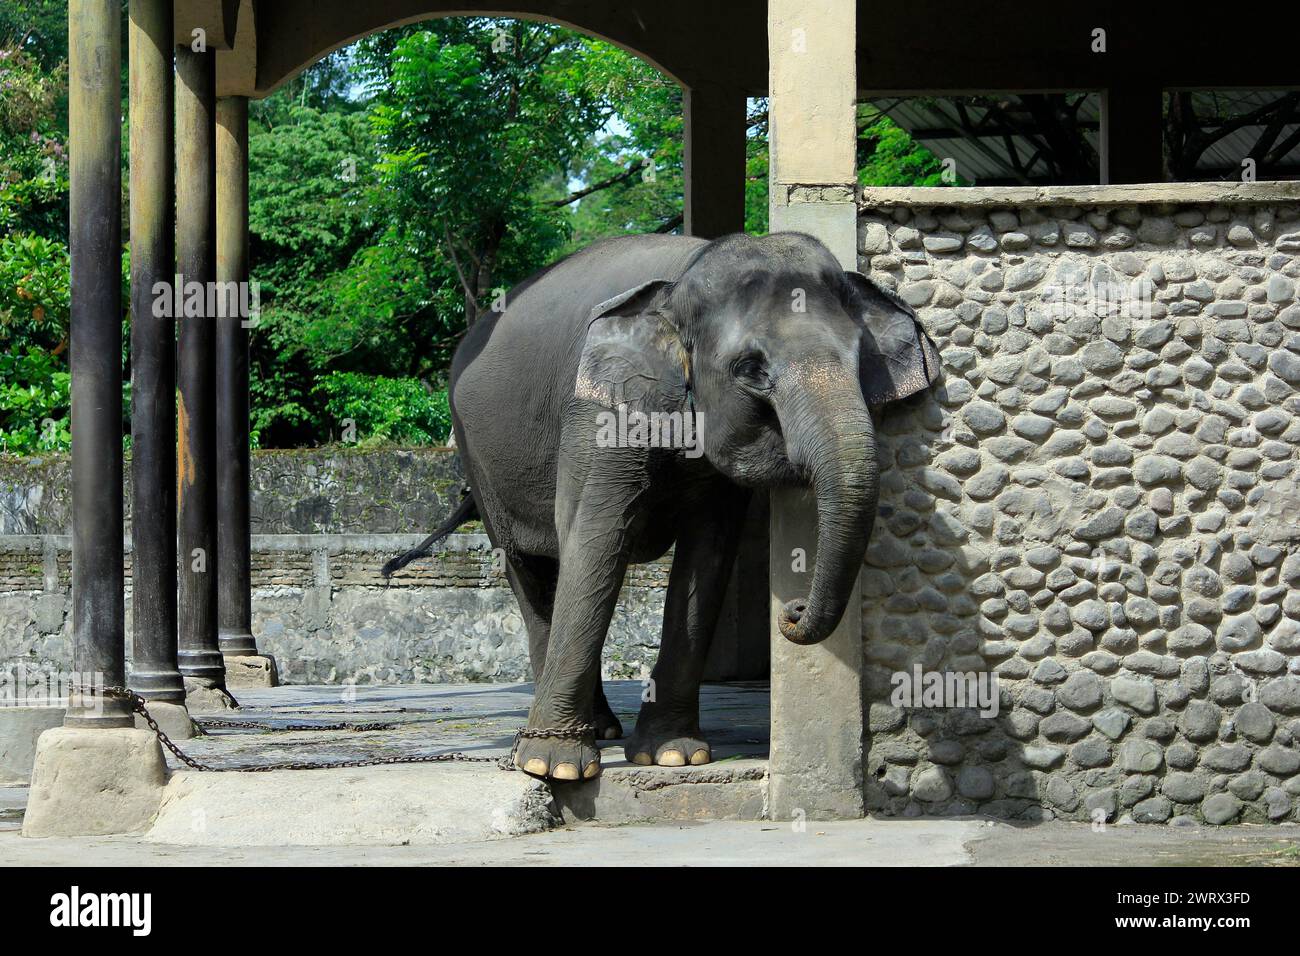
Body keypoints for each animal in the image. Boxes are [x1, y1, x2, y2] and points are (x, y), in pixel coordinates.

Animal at [384, 231, 940, 782]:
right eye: (750, 369)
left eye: (861, 359)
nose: (793, 611)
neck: (684, 276)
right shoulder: (597, 410)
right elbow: (595, 535)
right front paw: (553, 766)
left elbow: (707, 554)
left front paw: (673, 756)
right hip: (479, 462)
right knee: (529, 570)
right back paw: (571, 732)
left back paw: (602, 728)